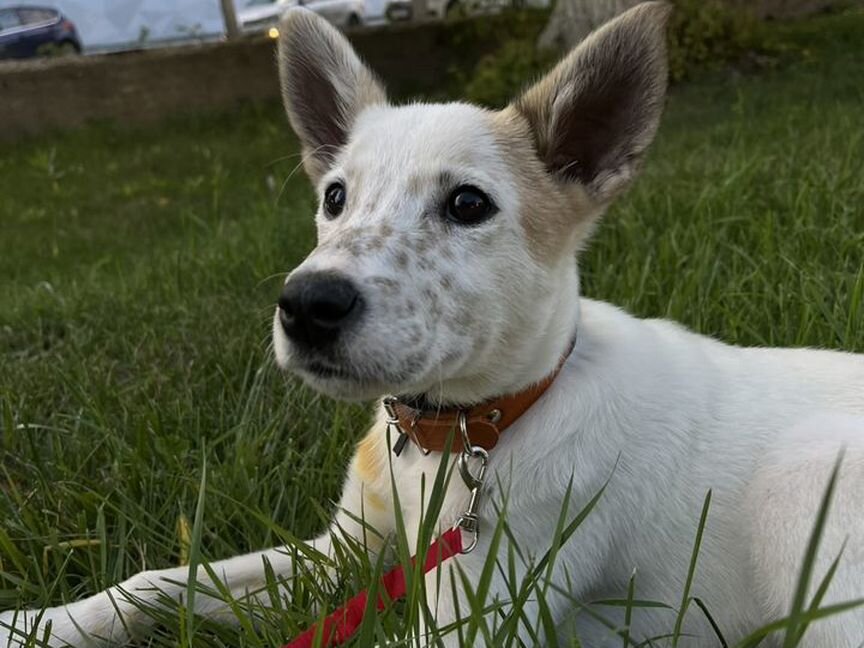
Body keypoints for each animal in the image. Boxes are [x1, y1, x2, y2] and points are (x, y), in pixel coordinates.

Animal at [1, 2, 864, 644]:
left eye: (468, 204)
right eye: (335, 197)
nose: (307, 304)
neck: (458, 437)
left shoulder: (481, 608)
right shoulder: (346, 551)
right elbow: (158, 581)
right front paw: (35, 623)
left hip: (802, 496)